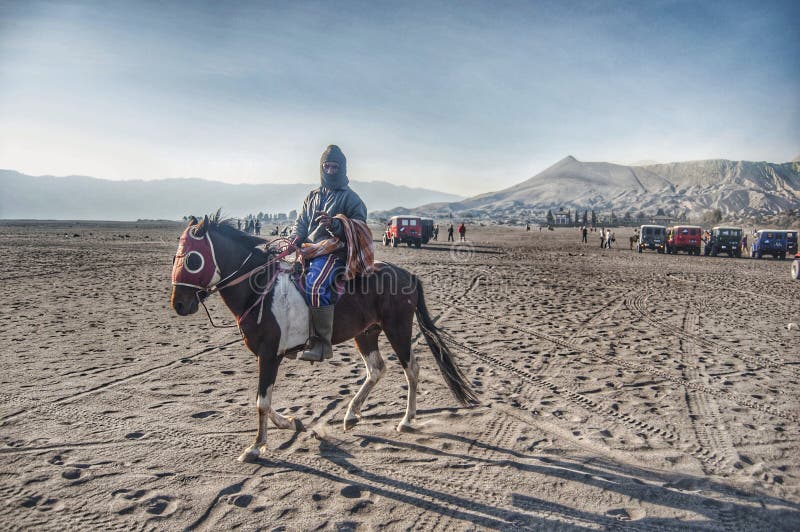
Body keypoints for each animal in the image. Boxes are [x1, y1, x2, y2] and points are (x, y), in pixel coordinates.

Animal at [170, 214, 478, 462]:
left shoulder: (270, 354)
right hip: (367, 332)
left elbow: (262, 401)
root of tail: (409, 275)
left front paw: (256, 447)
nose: (179, 304)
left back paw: (407, 420)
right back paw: (352, 414)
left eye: (193, 259)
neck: (261, 289)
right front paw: (290, 422)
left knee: (411, 369)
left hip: (398, 328)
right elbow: (263, 400)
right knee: (376, 369)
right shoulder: (267, 356)